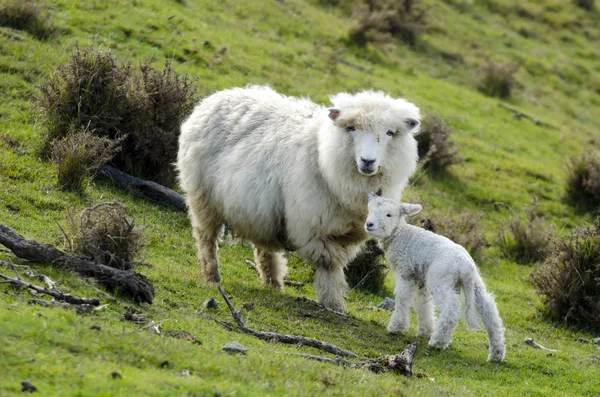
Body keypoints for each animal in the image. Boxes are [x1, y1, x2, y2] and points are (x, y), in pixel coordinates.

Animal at [177, 85, 422, 310]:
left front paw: (335, 304)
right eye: (351, 128)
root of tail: (217, 96)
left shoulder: (346, 232)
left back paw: (273, 283)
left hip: (261, 209)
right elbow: (329, 264)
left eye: (390, 133)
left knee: (263, 246)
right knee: (205, 238)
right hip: (203, 199)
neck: (324, 154)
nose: (368, 161)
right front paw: (333, 303)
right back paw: (212, 276)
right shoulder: (315, 227)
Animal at [366, 193, 506, 362]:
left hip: (441, 279)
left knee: (452, 308)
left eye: (389, 215)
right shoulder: (420, 277)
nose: (369, 224)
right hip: (475, 283)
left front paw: (396, 327)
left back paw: (438, 342)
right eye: (370, 210)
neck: (400, 235)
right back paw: (497, 353)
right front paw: (425, 331)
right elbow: (423, 303)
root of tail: (465, 266)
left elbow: (403, 298)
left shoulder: (406, 272)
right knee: (489, 310)